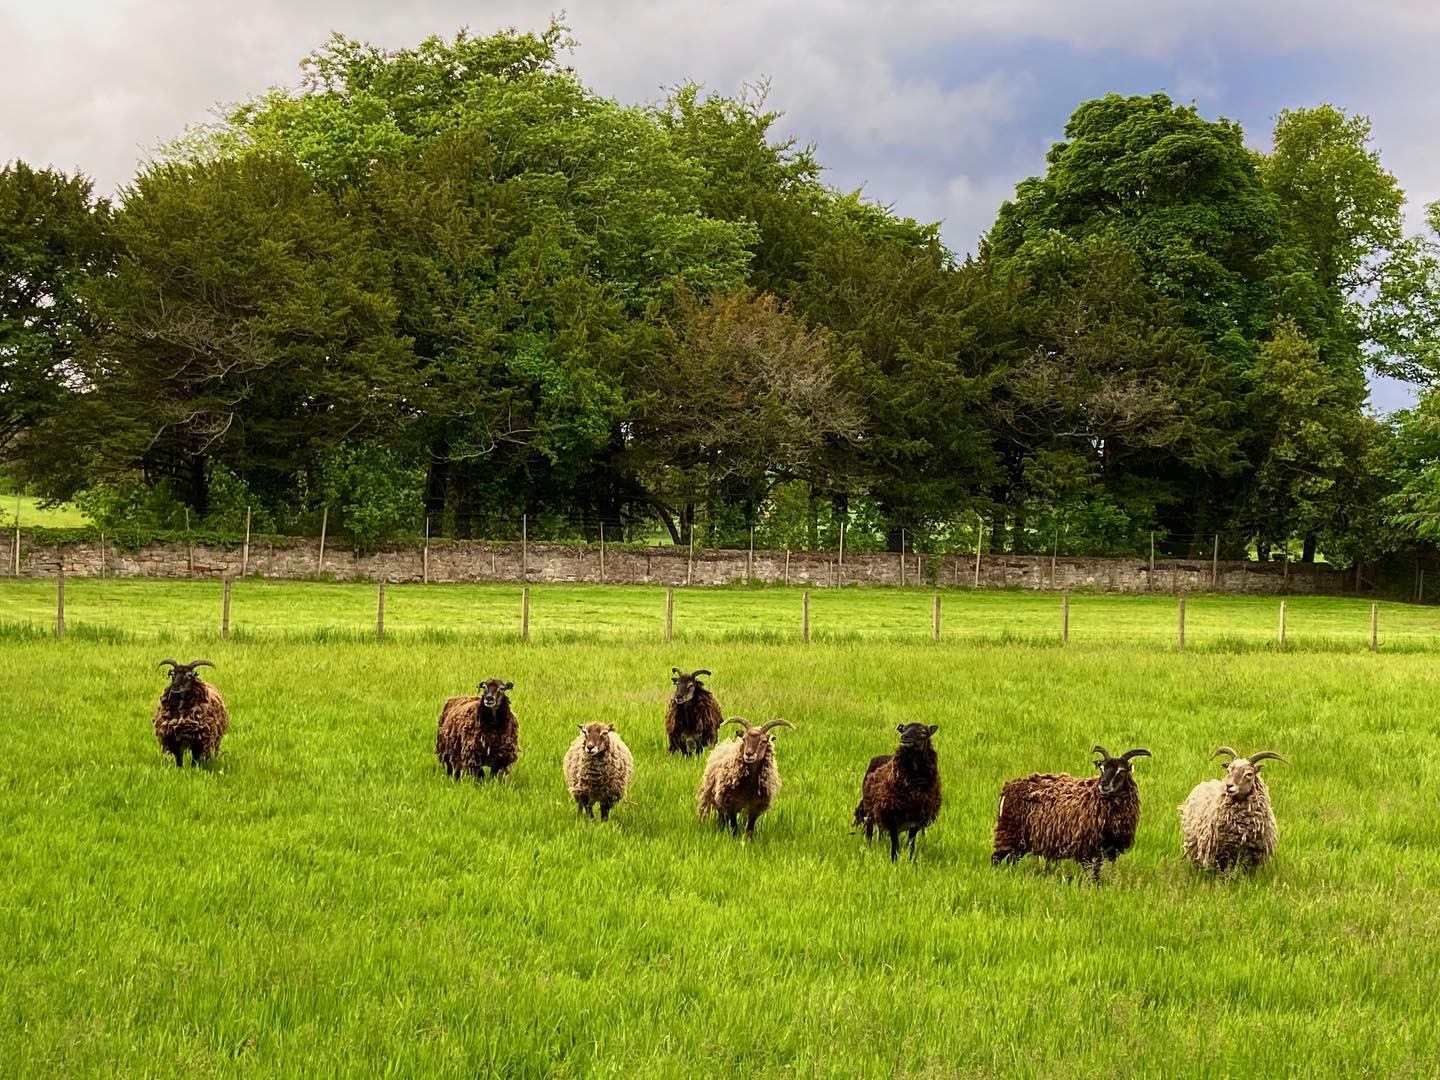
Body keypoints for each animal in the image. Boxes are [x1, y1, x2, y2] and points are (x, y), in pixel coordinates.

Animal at [853, 723, 942, 862]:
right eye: (903, 729)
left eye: (923, 732)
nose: (904, 737)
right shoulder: (891, 815)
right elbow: (895, 844)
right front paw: (894, 861)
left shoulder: (916, 820)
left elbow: (911, 844)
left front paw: (910, 860)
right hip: (871, 808)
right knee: (869, 830)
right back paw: (869, 847)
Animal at [991, 745, 1151, 883]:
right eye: (1102, 769)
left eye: (1122, 771)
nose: (1103, 784)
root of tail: (1009, 787)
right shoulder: (1085, 846)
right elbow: (1091, 873)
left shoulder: (1105, 847)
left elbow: (1097, 872)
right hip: (1008, 832)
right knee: (996, 858)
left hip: (1021, 840)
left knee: (1011, 860)